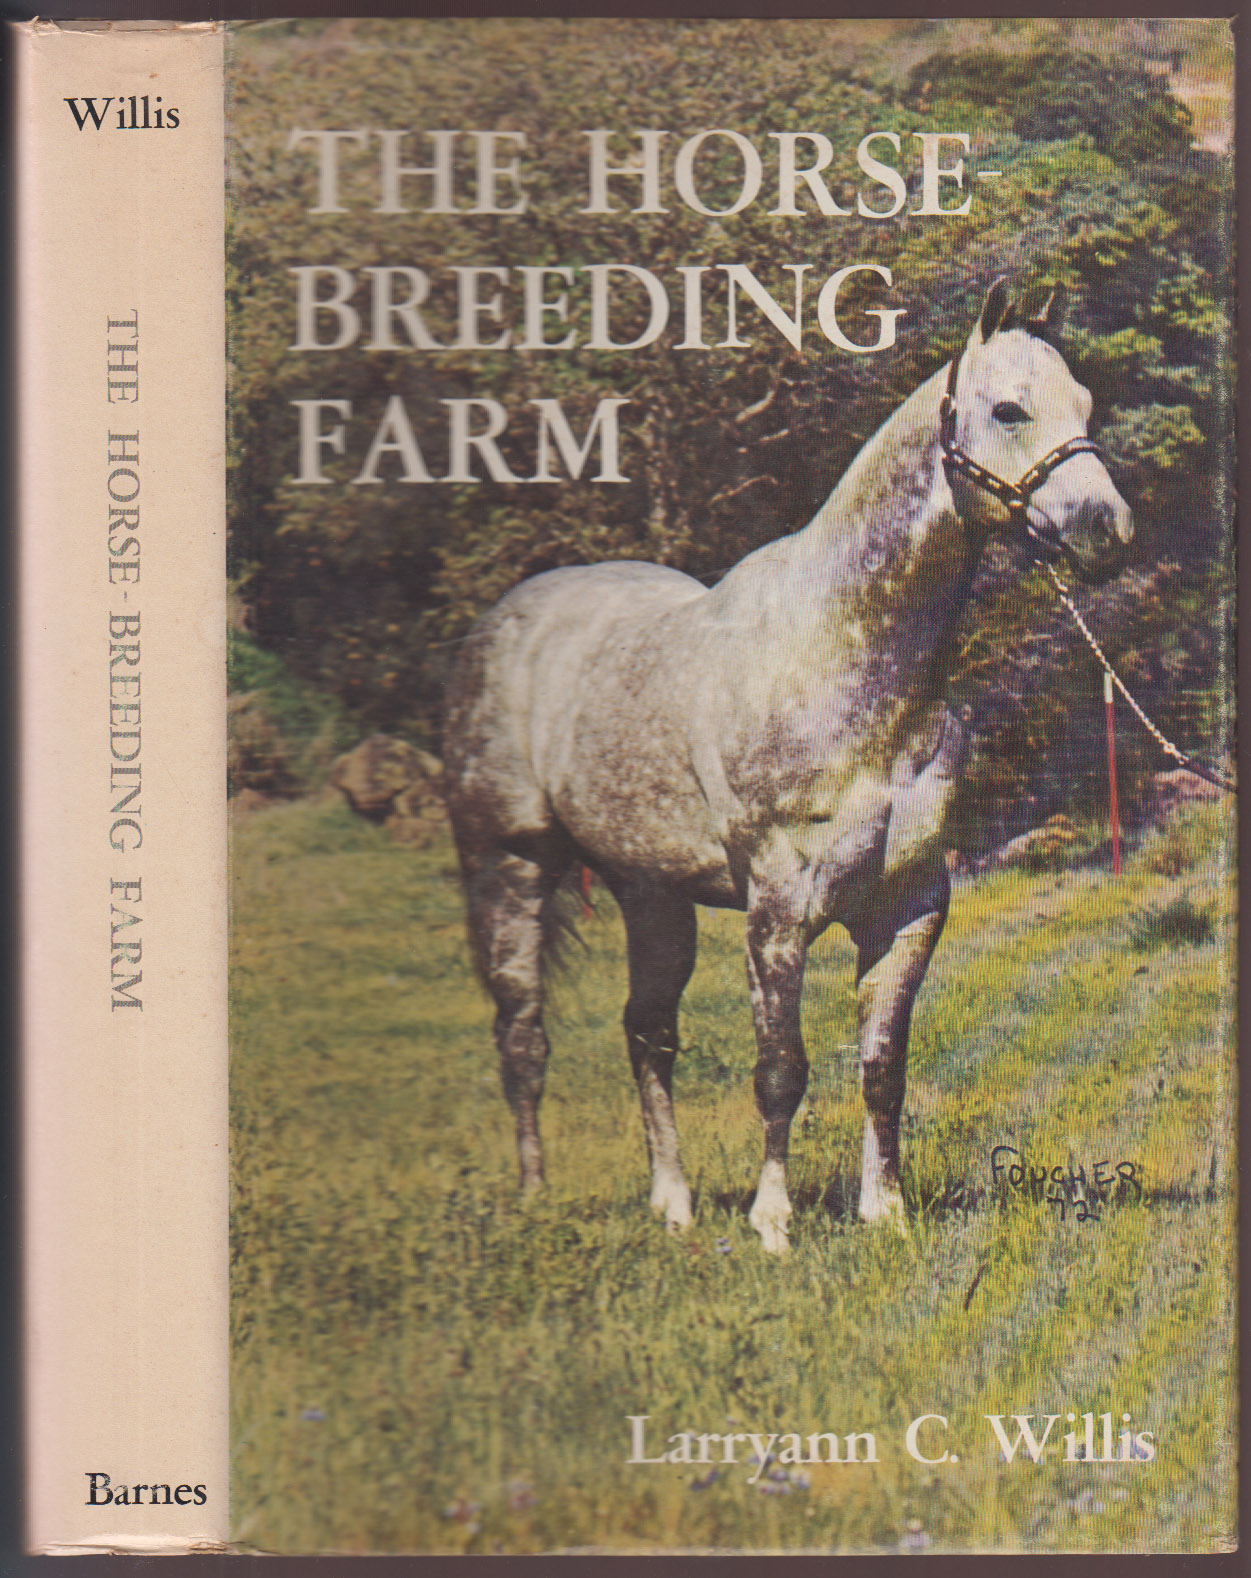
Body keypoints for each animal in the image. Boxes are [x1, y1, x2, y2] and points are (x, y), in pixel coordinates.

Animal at [442, 279, 1132, 1252]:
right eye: (1008, 409)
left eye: (1084, 406)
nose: (1105, 531)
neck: (838, 660)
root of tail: (500, 626)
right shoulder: (778, 908)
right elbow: (780, 1069)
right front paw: (774, 1223)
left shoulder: (908, 908)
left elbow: (881, 1064)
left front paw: (884, 1212)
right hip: (508, 866)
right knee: (523, 1034)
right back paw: (535, 1198)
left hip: (649, 892)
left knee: (646, 1033)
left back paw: (673, 1205)